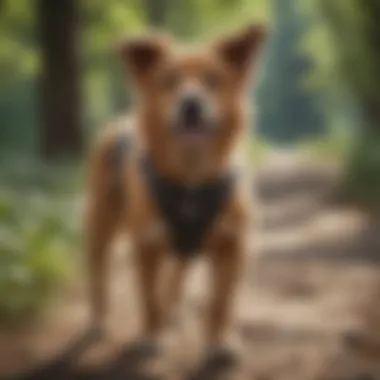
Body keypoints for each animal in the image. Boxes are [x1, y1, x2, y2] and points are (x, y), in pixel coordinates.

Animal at [84, 23, 266, 362]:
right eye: (168, 81)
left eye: (212, 80)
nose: (190, 103)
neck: (191, 175)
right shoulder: (147, 244)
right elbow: (149, 297)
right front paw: (153, 336)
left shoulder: (232, 244)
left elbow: (221, 301)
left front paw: (220, 341)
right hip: (101, 223)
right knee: (98, 272)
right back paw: (99, 319)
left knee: (176, 276)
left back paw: (174, 310)